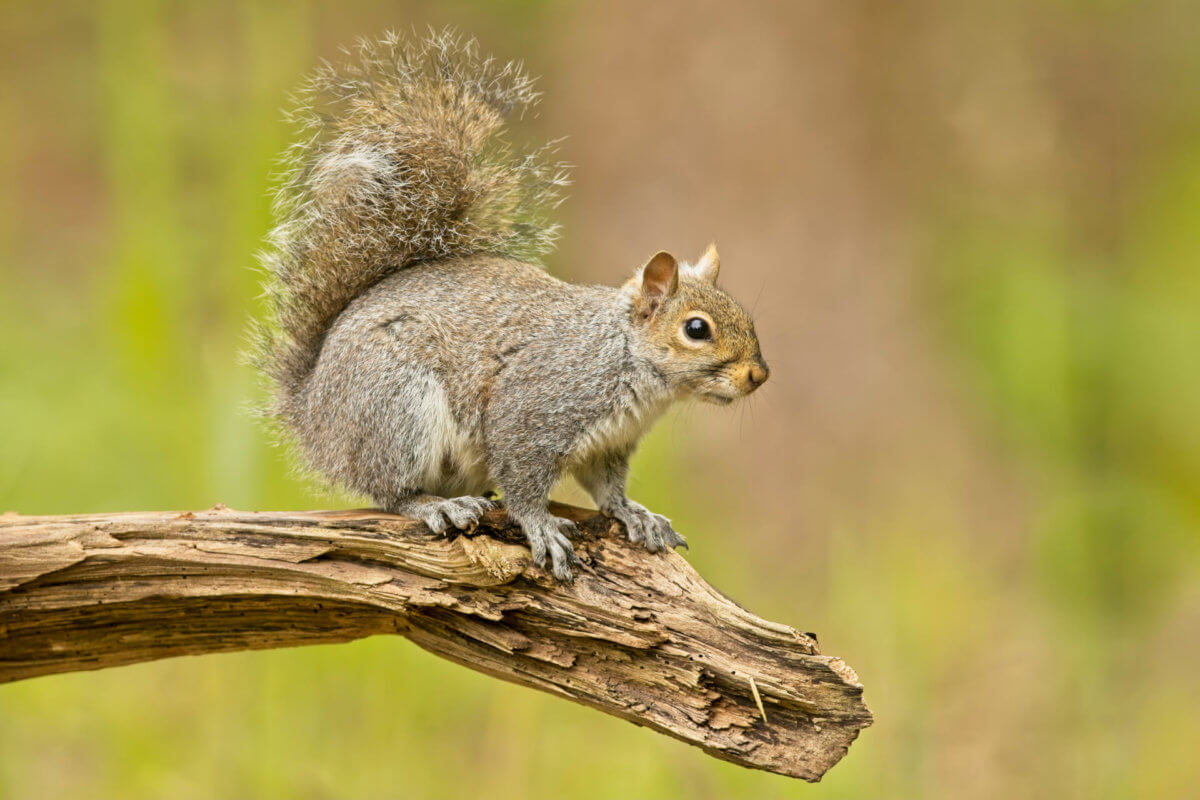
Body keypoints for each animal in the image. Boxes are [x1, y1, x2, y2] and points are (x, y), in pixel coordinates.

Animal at [251, 31, 769, 580]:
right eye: (697, 329)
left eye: (747, 317)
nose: (759, 375)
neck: (623, 358)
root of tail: (314, 416)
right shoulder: (533, 409)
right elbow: (522, 480)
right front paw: (540, 526)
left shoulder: (608, 444)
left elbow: (607, 488)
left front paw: (634, 513)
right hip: (394, 406)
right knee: (389, 489)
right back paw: (437, 505)